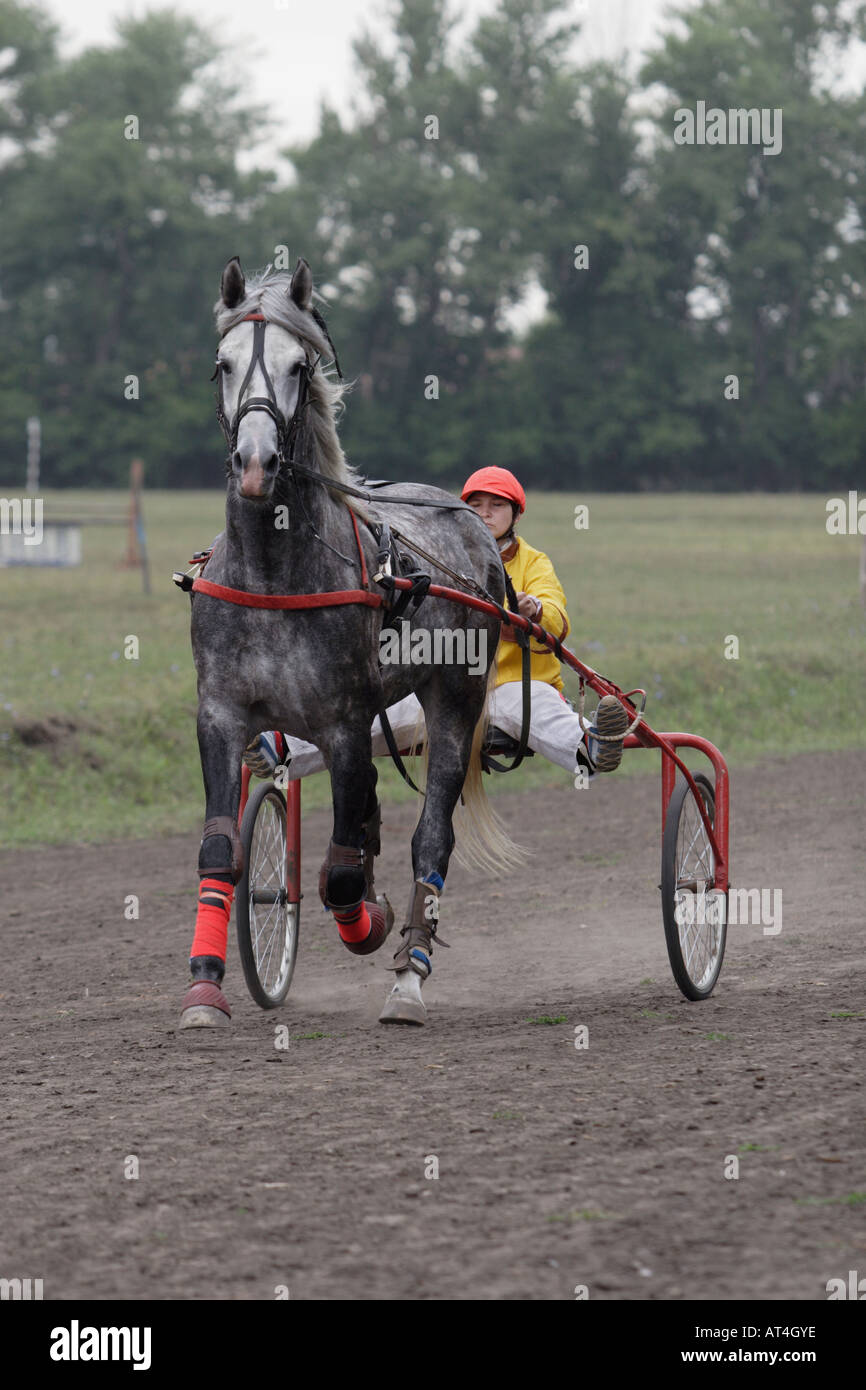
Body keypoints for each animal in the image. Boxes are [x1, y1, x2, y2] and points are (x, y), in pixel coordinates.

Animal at [179, 255, 517, 1030]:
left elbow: (339, 874)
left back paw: (409, 970)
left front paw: (370, 920)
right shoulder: (221, 715)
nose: (255, 464)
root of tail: (469, 522)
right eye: (223, 363)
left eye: (299, 366)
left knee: (430, 834)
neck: (275, 573)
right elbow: (221, 850)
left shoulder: (342, 722)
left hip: (455, 697)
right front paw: (205, 987)